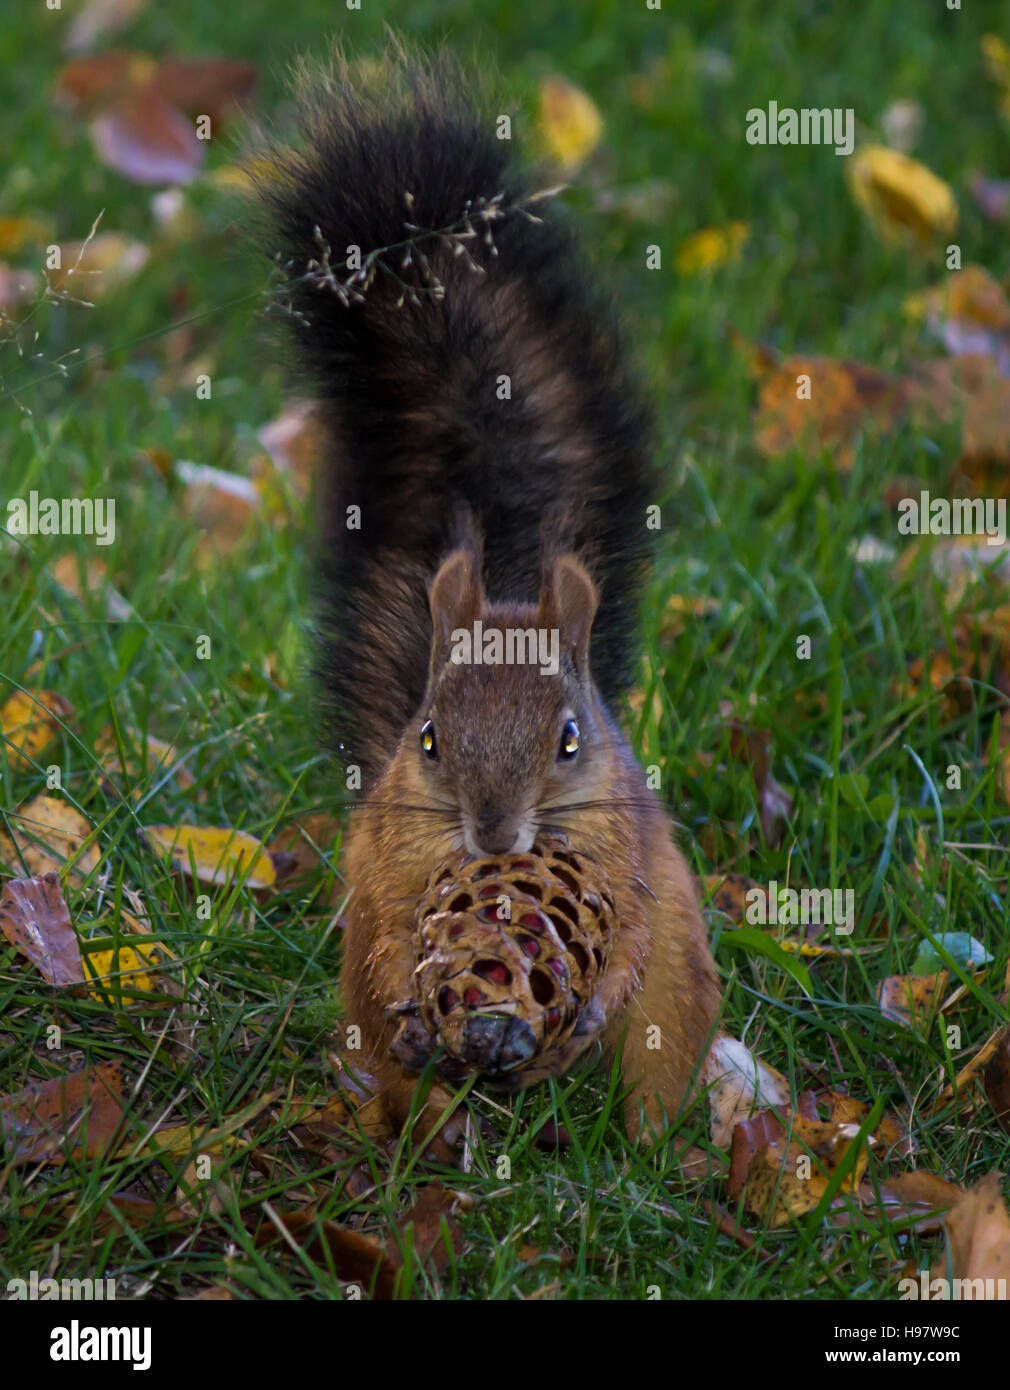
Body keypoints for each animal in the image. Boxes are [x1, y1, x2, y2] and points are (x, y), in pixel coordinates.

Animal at [260, 45, 722, 1160]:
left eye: (570, 737)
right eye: (429, 738)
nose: (495, 837)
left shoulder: (628, 850)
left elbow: (628, 931)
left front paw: (586, 1008)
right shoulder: (388, 853)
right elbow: (392, 930)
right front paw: (413, 1006)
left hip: (676, 1011)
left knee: (651, 1073)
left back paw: (655, 1155)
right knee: (406, 1088)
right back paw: (434, 1130)